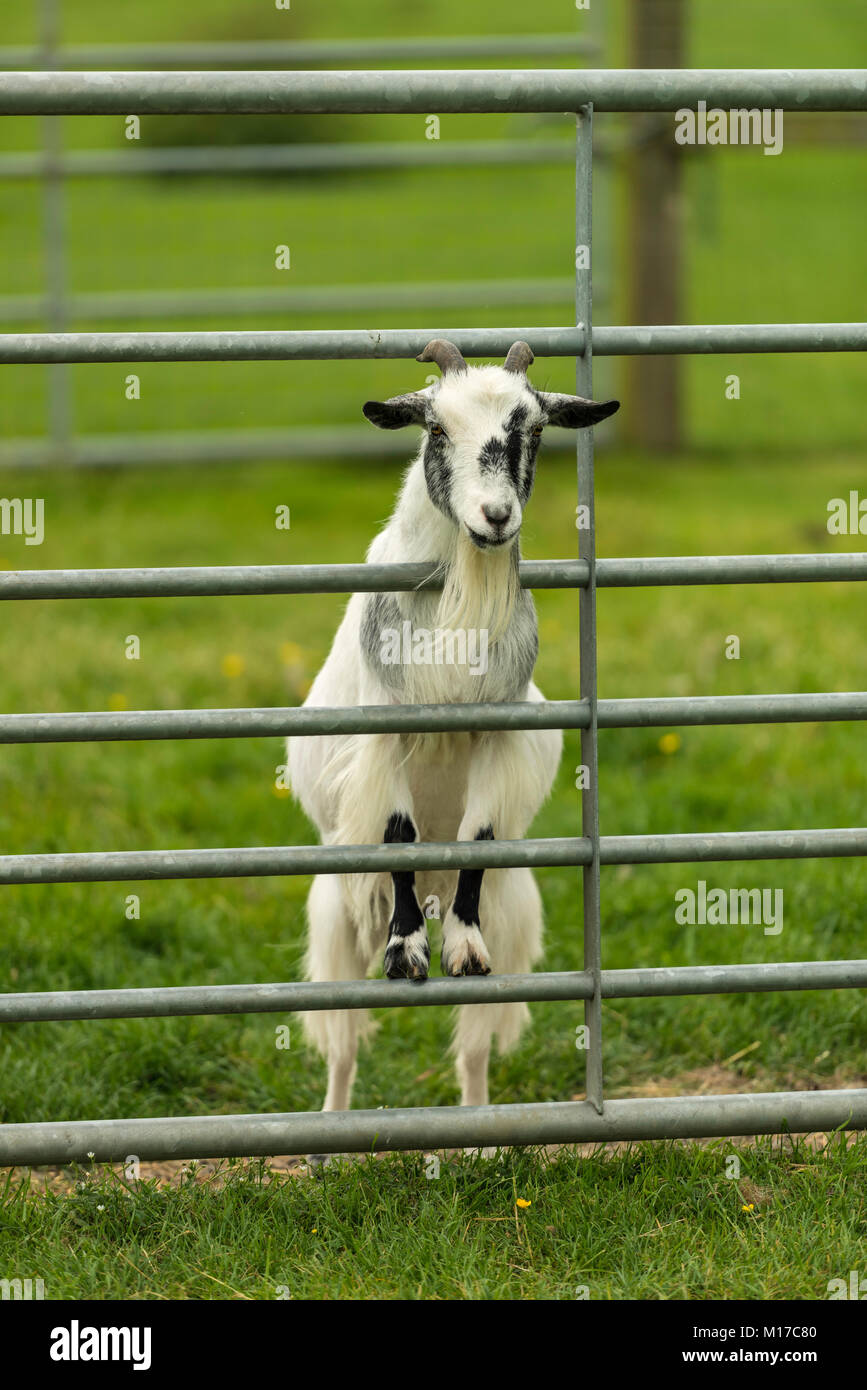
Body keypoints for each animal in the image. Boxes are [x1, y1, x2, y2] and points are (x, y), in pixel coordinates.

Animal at [288, 339, 619, 1117]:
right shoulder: (385, 735)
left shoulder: (496, 737)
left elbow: (479, 835)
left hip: (513, 909)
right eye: (436, 429)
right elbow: (399, 833)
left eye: (534, 429)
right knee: (342, 1046)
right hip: (338, 915)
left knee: (473, 1049)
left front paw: (459, 949)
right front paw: (407, 951)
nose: (495, 516)